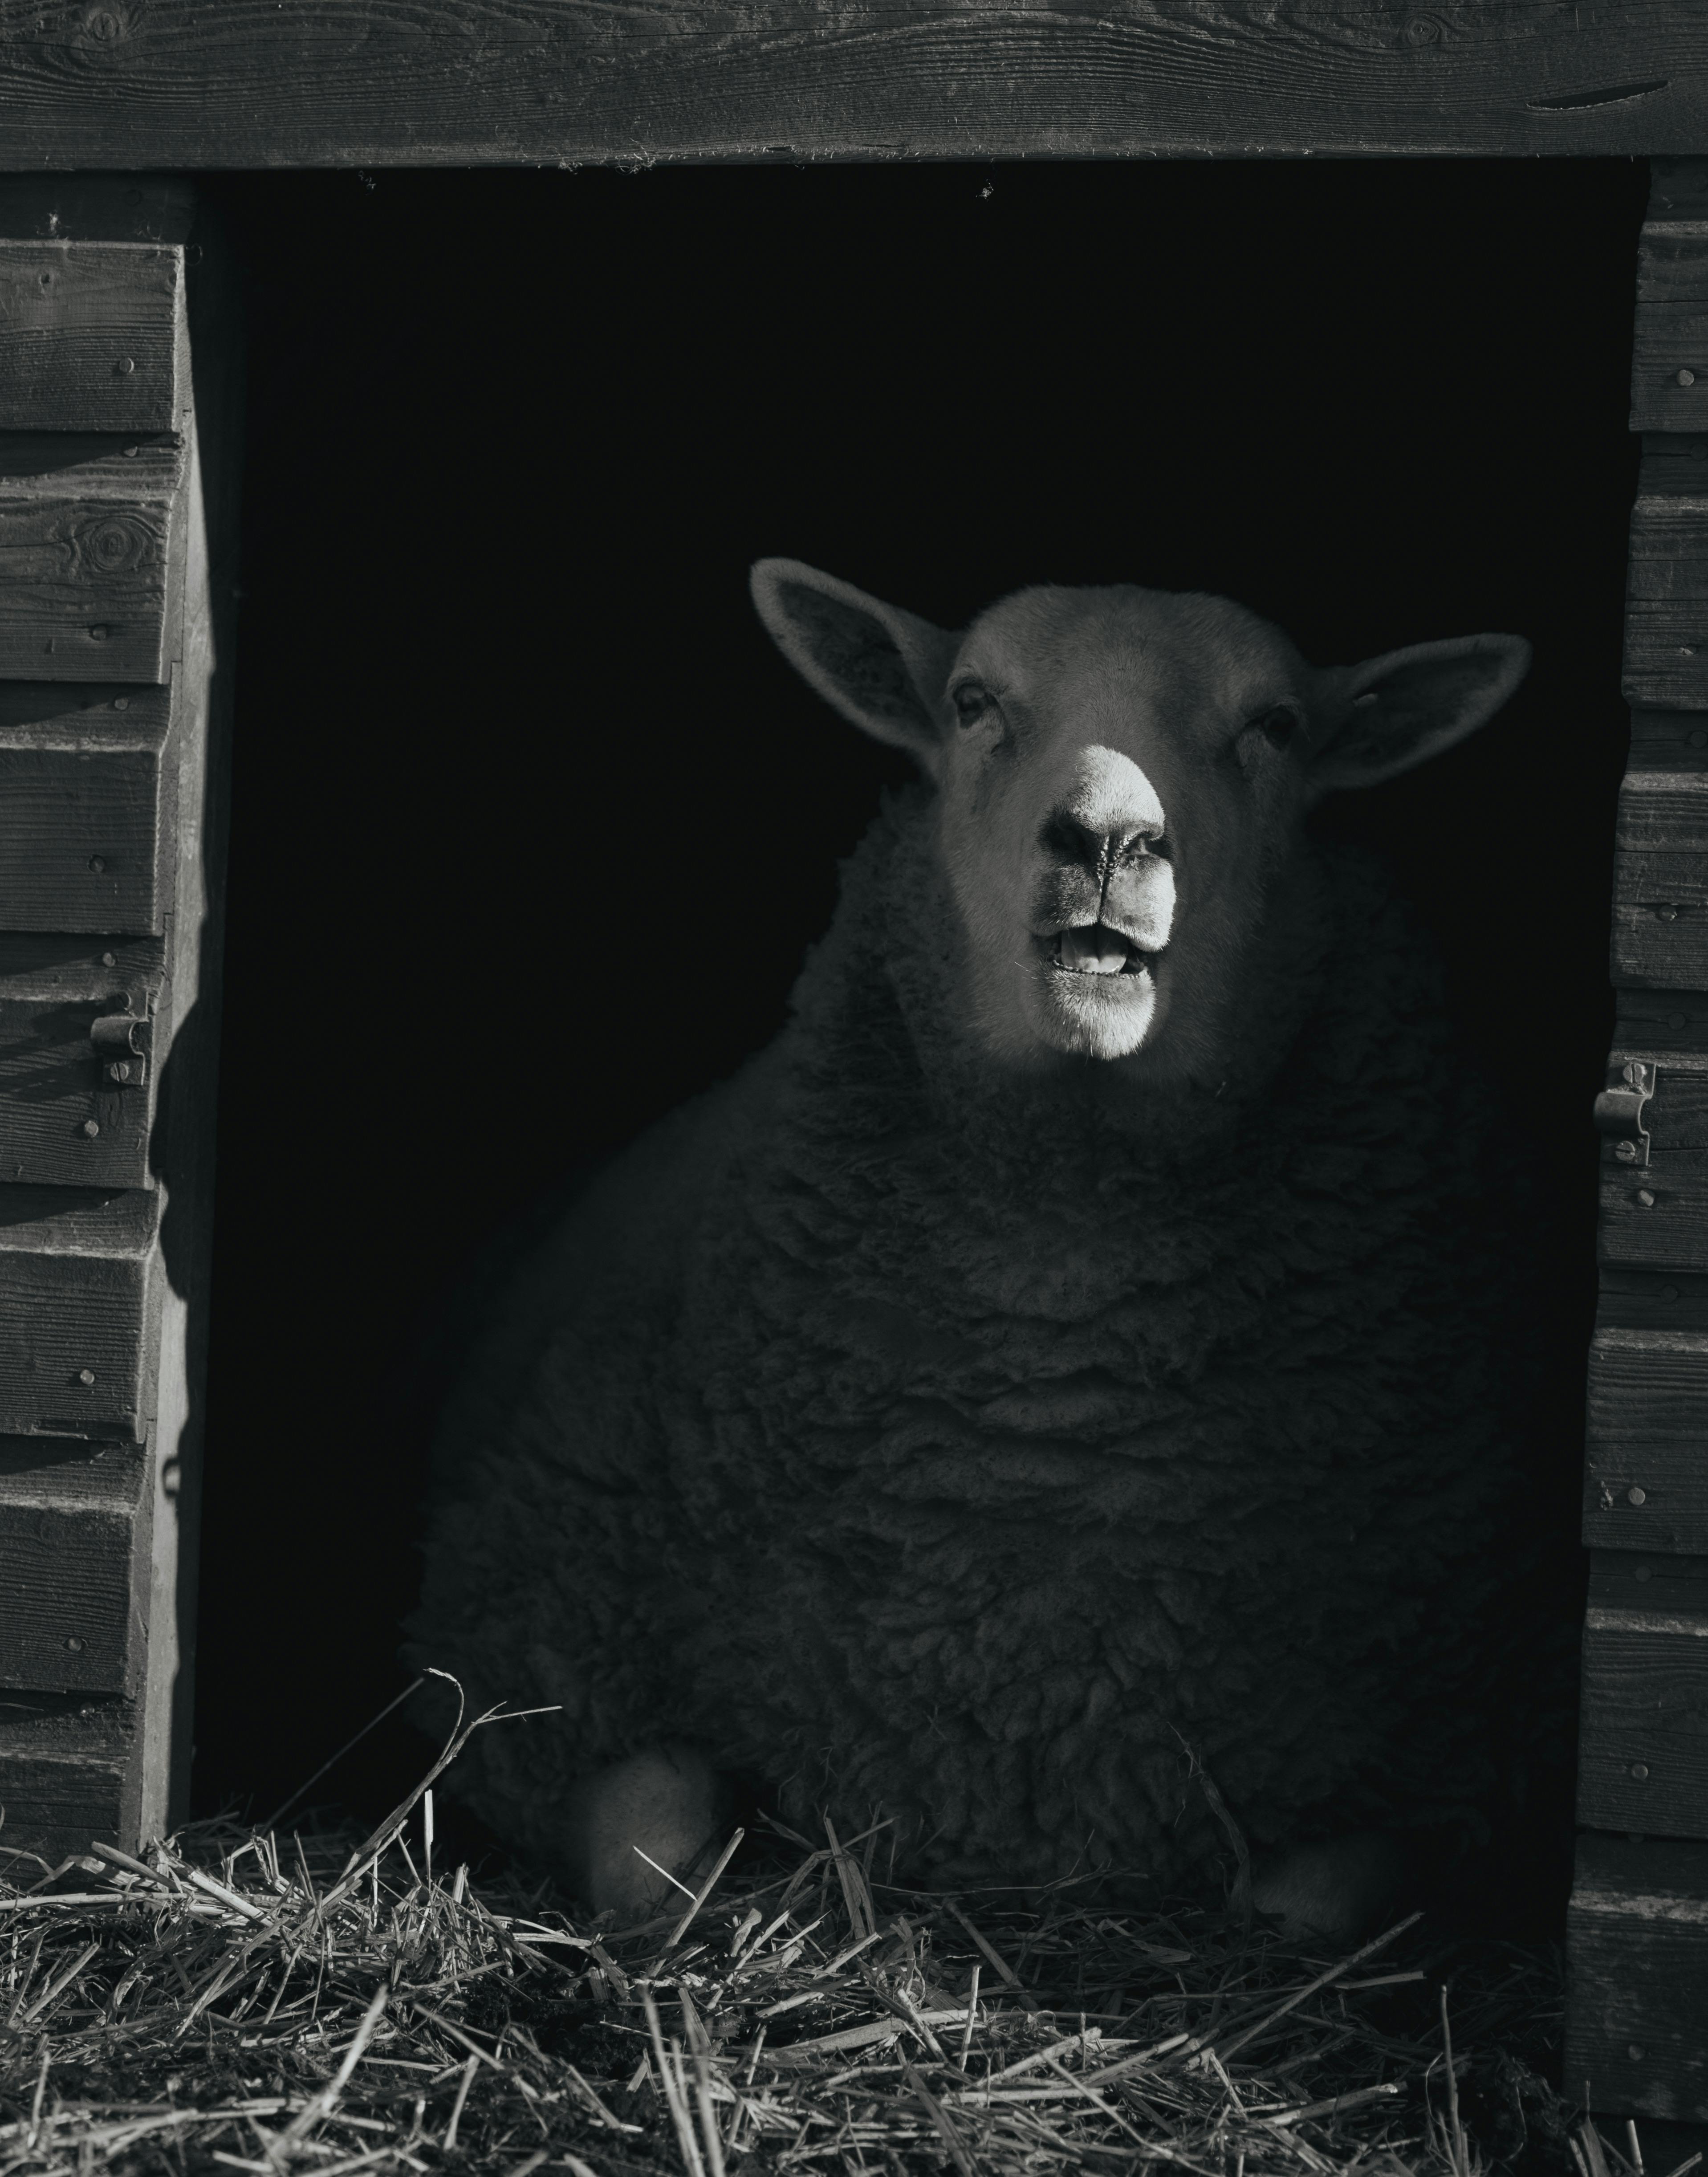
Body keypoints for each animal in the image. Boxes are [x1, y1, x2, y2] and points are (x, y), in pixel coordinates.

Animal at [407, 560, 1539, 1939]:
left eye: (1275, 726)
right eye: (970, 701)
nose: (1105, 839)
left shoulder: (1427, 1765)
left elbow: (1308, 1903)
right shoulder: (535, 1657)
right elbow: (650, 1847)